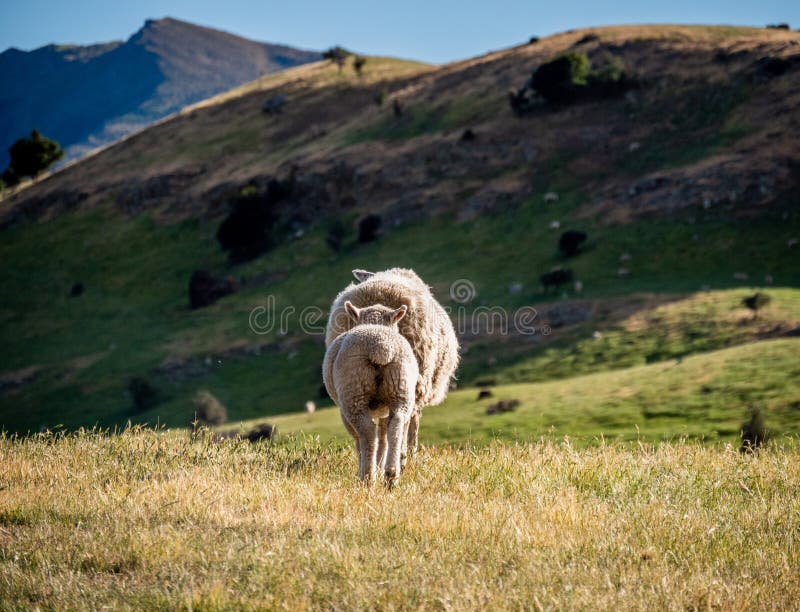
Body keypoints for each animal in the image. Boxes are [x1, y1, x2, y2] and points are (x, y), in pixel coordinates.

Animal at [323, 302, 418, 485]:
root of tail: (380, 345)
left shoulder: (343, 412)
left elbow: (357, 438)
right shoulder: (384, 410)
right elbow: (383, 437)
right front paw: (380, 466)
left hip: (353, 391)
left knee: (367, 432)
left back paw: (367, 477)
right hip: (401, 388)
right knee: (395, 426)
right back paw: (390, 475)